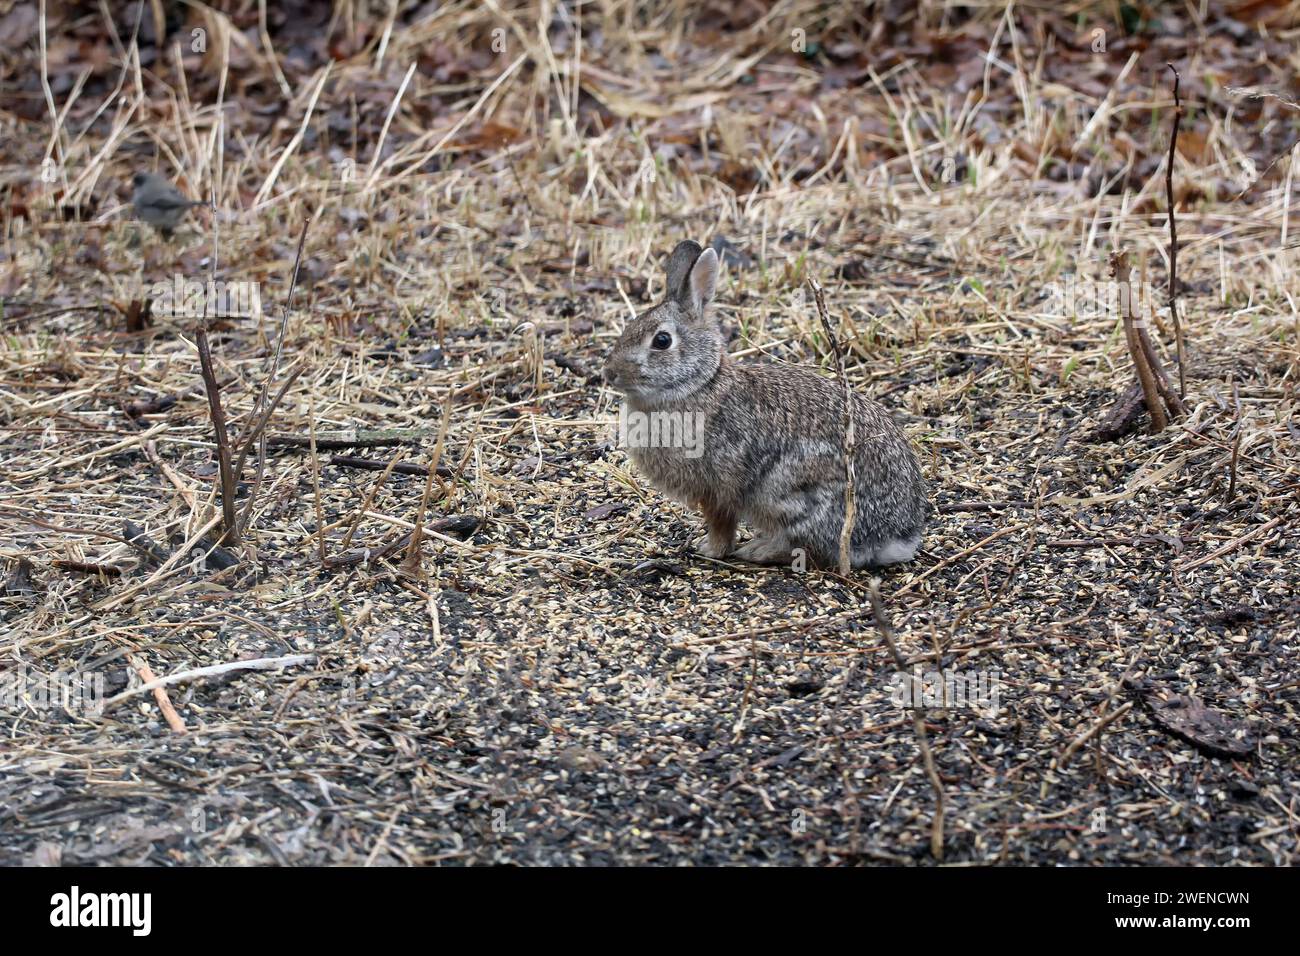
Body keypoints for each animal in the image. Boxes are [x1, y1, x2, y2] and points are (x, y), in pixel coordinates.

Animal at [602, 239, 928, 569]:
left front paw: (709, 550)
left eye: (662, 341)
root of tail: (896, 536)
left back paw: (758, 550)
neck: (698, 384)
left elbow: (721, 524)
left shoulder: (718, 489)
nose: (609, 372)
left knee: (806, 546)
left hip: (787, 493)